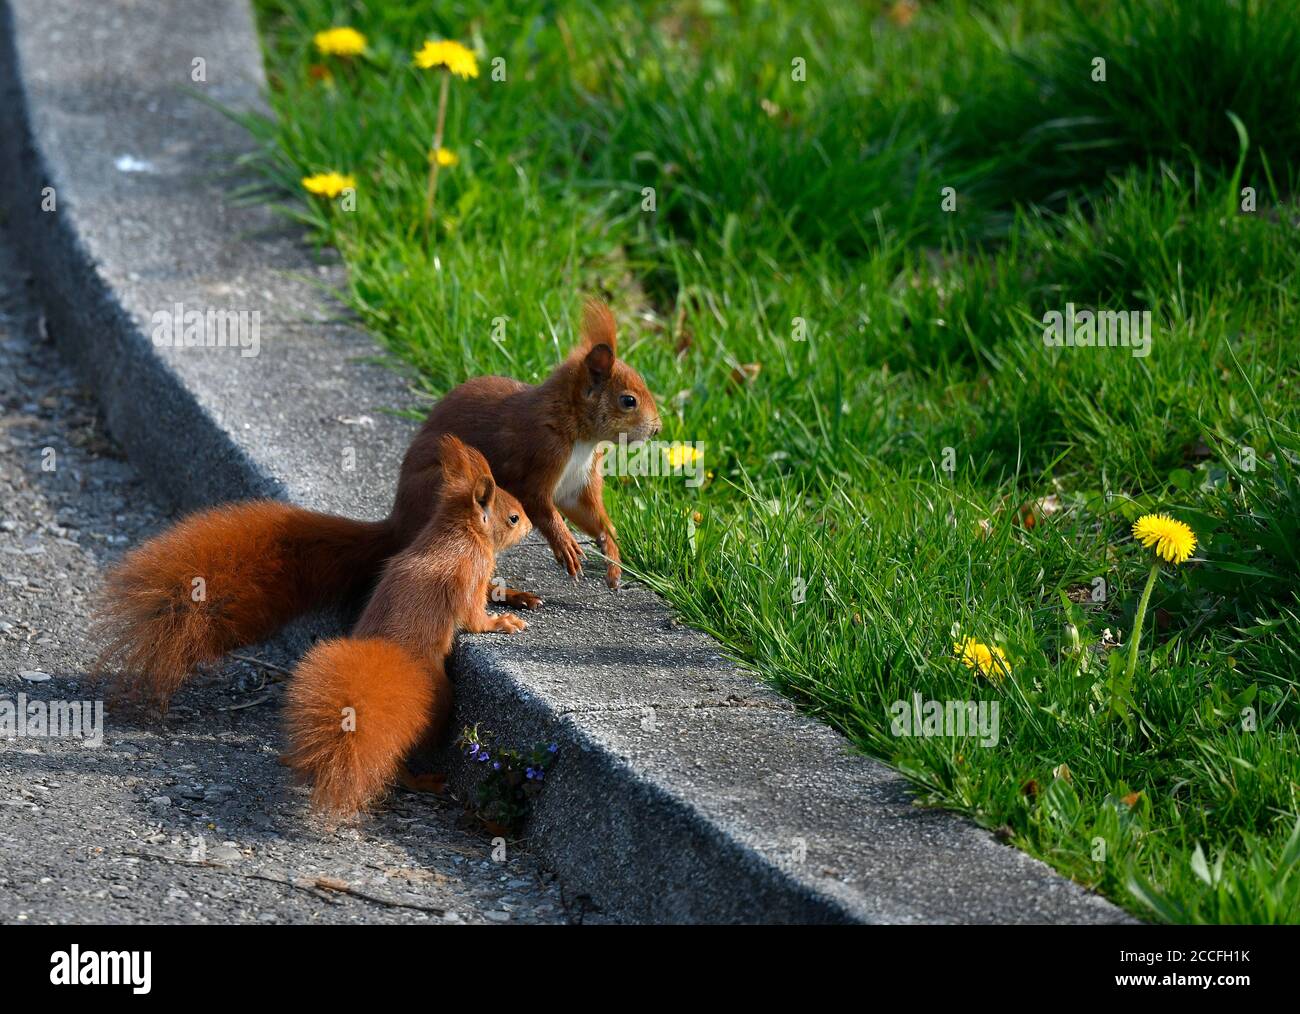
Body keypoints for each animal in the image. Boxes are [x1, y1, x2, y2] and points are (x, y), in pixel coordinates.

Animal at [94, 298, 660, 709]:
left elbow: (593, 515)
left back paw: (513, 592)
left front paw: (612, 557)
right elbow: (543, 508)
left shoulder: (579, 481)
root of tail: (398, 524)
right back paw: (508, 590)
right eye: (628, 400)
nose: (657, 429)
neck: (580, 435)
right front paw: (567, 548)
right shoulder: (538, 461)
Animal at [282, 434, 531, 817]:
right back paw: (422, 781)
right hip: (437, 695)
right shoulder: (473, 574)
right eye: (513, 517)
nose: (531, 526)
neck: (458, 531)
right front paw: (503, 622)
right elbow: (475, 618)